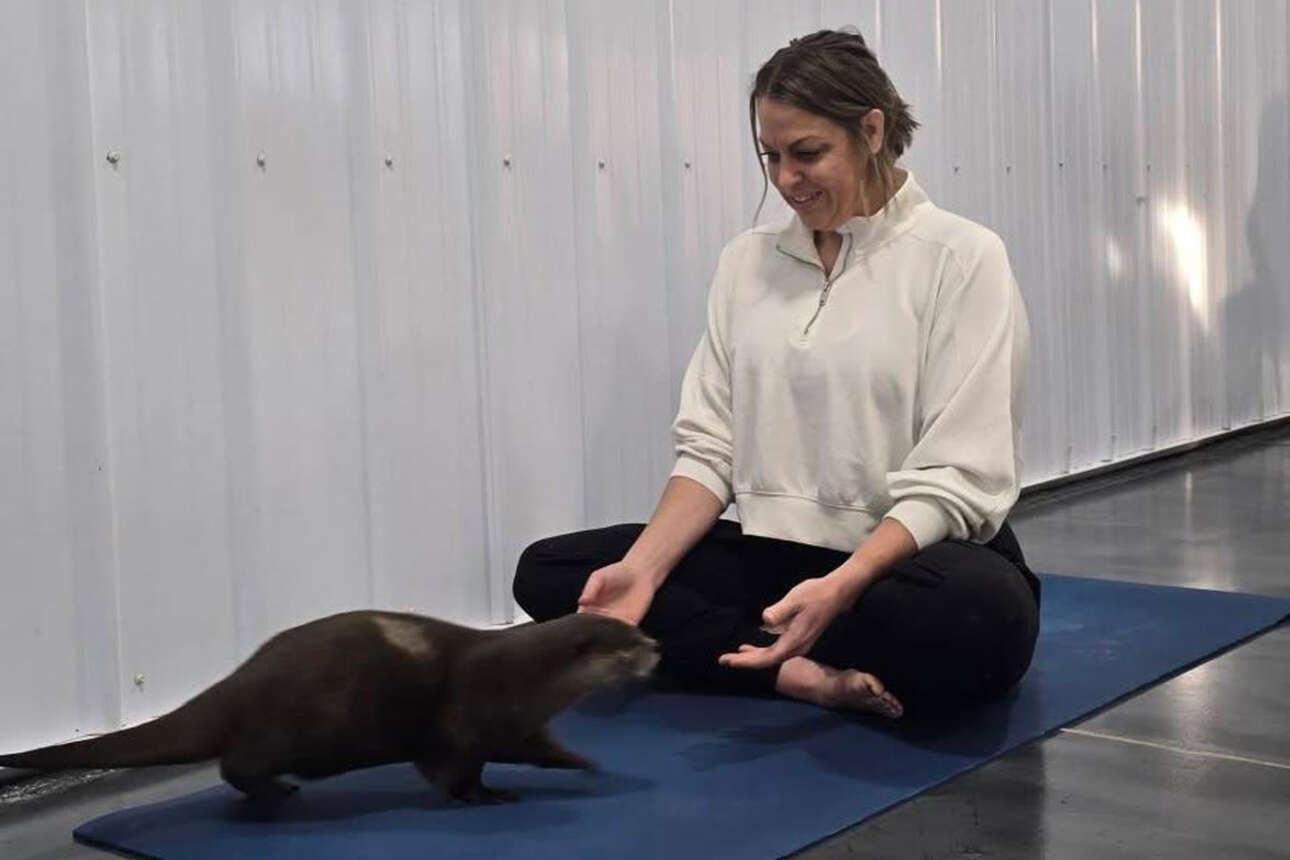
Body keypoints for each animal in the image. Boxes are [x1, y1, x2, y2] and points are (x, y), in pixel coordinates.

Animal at [0, 611, 658, 804]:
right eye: (628, 643)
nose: (656, 646)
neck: (523, 676)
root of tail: (239, 682)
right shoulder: (480, 715)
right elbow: (481, 762)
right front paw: (564, 770)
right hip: (290, 725)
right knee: (236, 764)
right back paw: (278, 792)